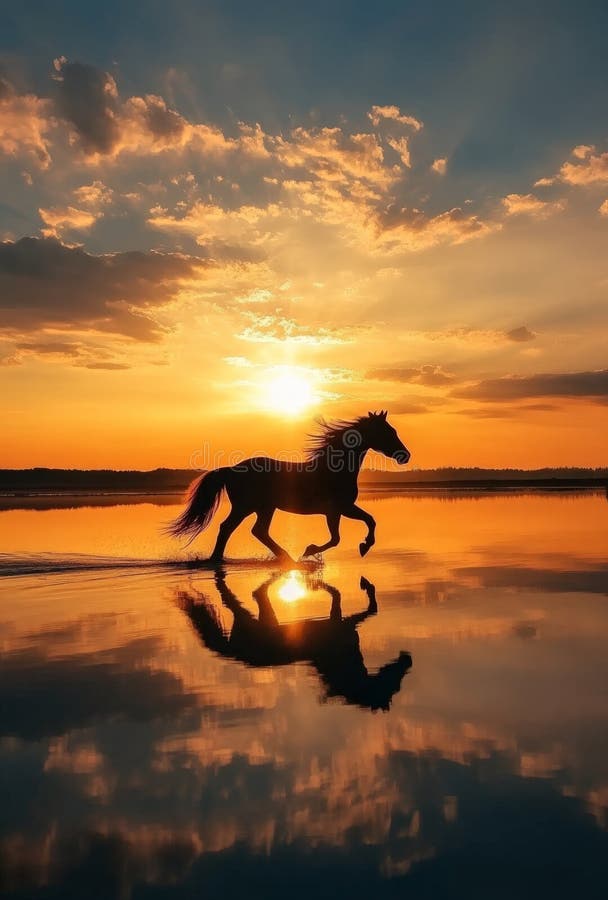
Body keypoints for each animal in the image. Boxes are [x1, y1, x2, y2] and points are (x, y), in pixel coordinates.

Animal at [166, 410, 410, 563]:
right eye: (388, 432)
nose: (405, 456)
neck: (335, 469)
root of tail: (231, 469)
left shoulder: (341, 509)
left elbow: (368, 521)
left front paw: (363, 546)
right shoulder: (338, 509)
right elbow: (339, 537)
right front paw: (310, 551)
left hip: (264, 508)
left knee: (257, 531)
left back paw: (286, 558)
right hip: (247, 507)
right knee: (229, 528)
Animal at [177, 572, 412, 712]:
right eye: (394, 687)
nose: (408, 659)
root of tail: (235, 653)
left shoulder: (341, 621)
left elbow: (348, 599)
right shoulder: (342, 623)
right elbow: (360, 603)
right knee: (241, 599)